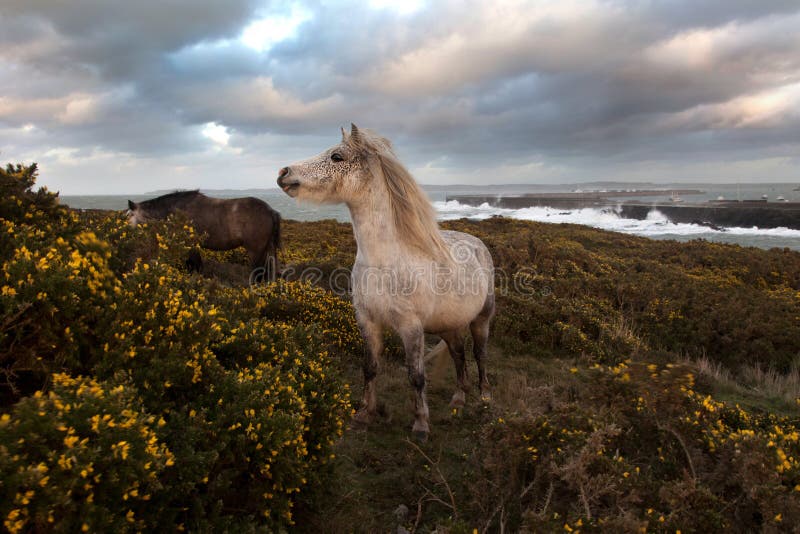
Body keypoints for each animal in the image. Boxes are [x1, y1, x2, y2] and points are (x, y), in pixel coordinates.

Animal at [127, 191, 281, 280]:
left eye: (129, 215)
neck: (177, 211)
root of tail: (270, 210)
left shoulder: (191, 246)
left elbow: (194, 266)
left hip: (255, 251)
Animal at [277, 124, 494, 439]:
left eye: (337, 156)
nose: (283, 172)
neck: (384, 261)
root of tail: (478, 243)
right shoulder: (367, 320)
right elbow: (369, 367)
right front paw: (364, 414)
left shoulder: (411, 327)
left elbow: (416, 376)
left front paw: (420, 425)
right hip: (449, 325)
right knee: (458, 355)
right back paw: (458, 399)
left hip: (482, 319)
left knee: (479, 354)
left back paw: (485, 395)